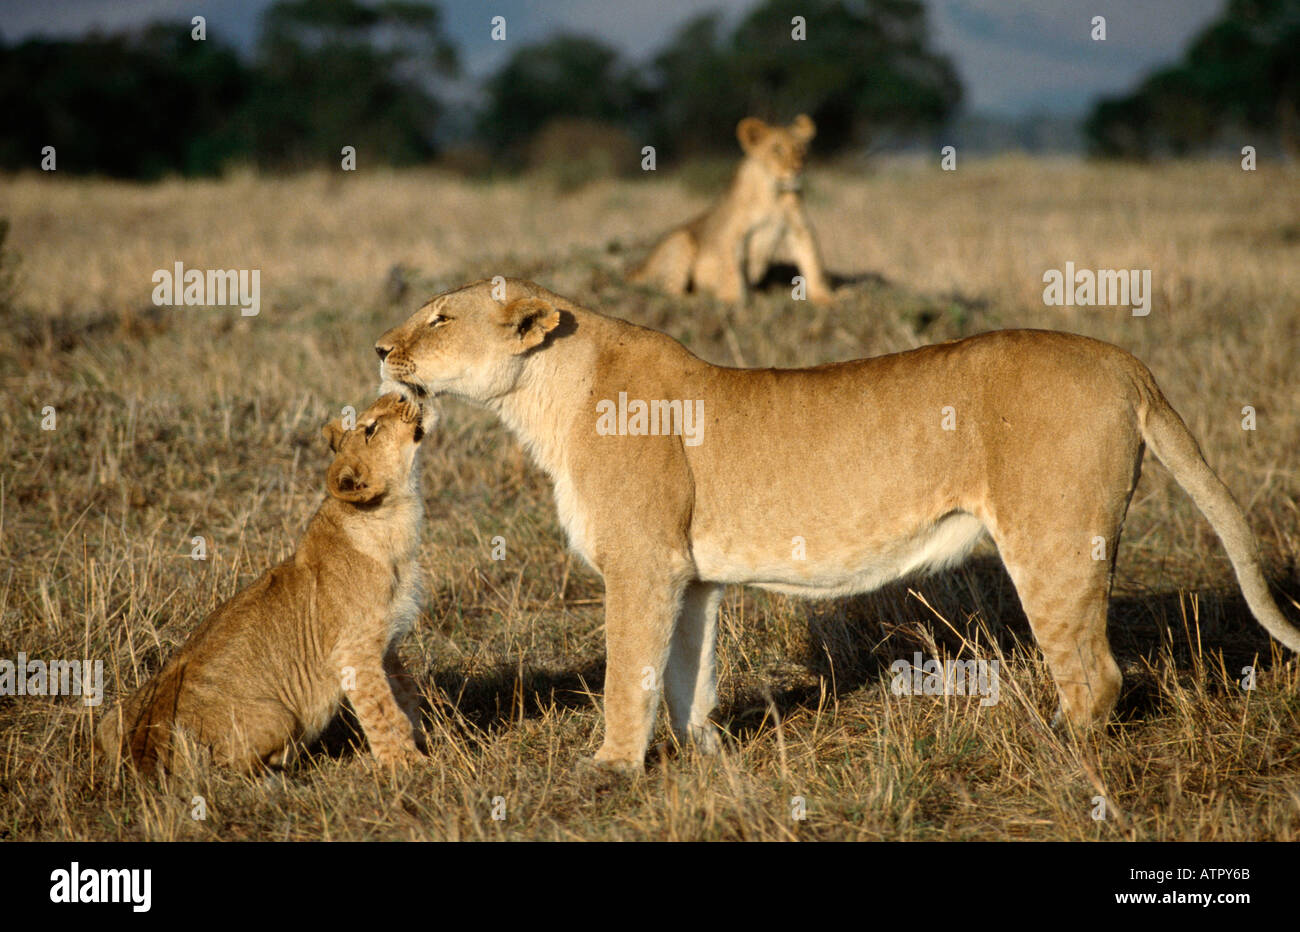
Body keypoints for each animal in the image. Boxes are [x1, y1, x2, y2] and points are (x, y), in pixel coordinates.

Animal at [97, 393, 430, 775]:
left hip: (111, 718)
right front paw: (407, 764)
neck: (393, 519)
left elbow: (406, 694)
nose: (402, 394)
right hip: (279, 715)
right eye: (371, 428)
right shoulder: (353, 651)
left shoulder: (385, 645)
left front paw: (425, 743)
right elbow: (385, 712)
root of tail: (141, 753)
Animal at [375, 279, 1300, 774]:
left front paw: (608, 768)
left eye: (442, 317)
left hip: (1053, 542)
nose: (381, 350)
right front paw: (706, 759)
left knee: (1097, 674)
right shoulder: (689, 575)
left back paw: (1055, 749)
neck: (546, 398)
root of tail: (1126, 360)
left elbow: (626, 674)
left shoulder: (641, 564)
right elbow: (685, 675)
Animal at [628, 114, 834, 305]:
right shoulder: (731, 232)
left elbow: (812, 262)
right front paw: (732, 298)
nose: (797, 168)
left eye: (801, 149)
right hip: (680, 240)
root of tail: (640, 267)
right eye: (777, 150)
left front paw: (823, 297)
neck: (774, 194)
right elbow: (731, 268)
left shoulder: (800, 229)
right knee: (669, 291)